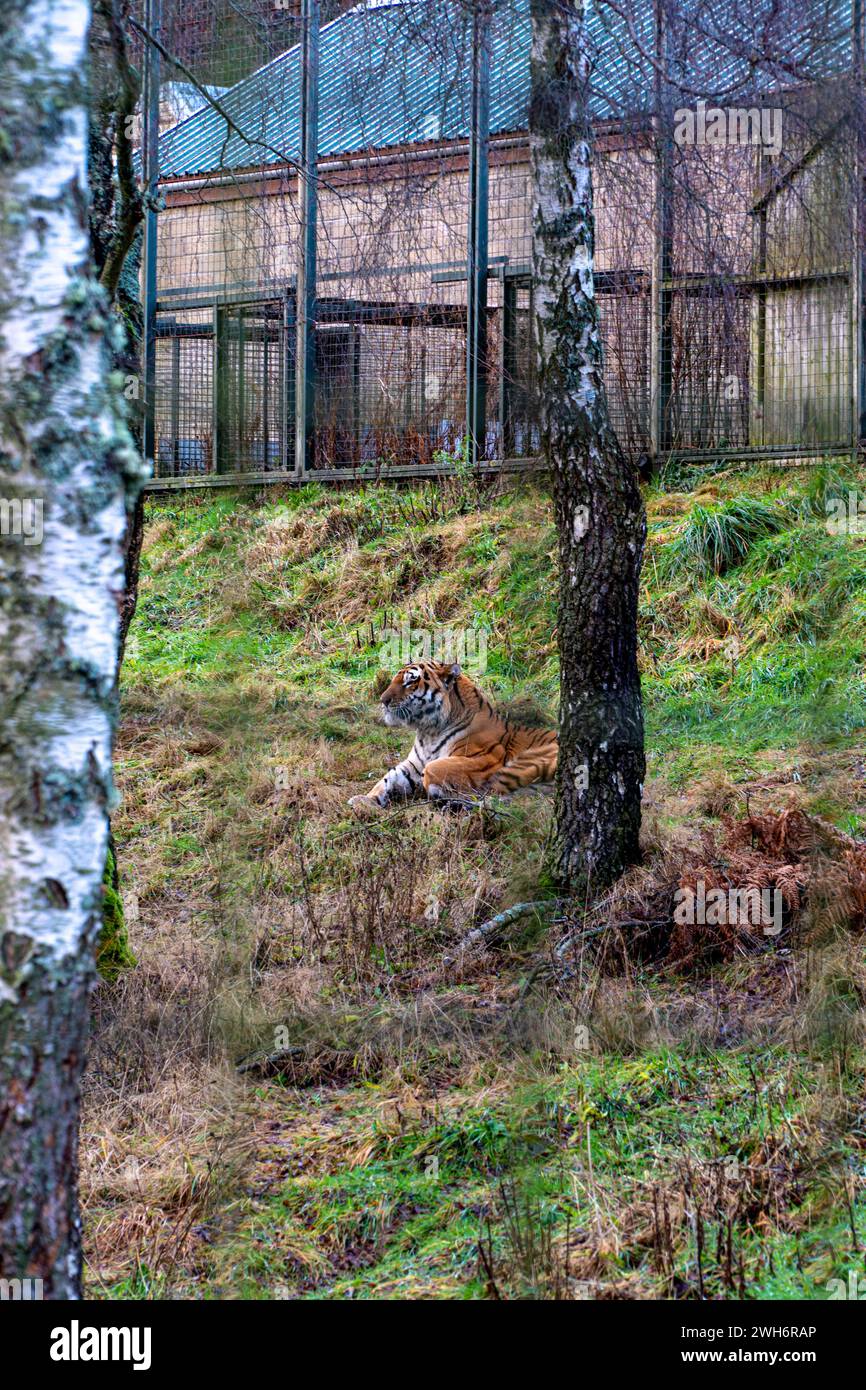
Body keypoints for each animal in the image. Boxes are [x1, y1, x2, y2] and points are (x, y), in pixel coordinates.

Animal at [348, 659, 557, 808]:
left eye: (411, 681)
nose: (383, 700)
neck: (429, 731)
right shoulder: (412, 765)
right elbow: (385, 779)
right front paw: (363, 801)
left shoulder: (486, 758)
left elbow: (432, 768)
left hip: (530, 759)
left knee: (496, 791)